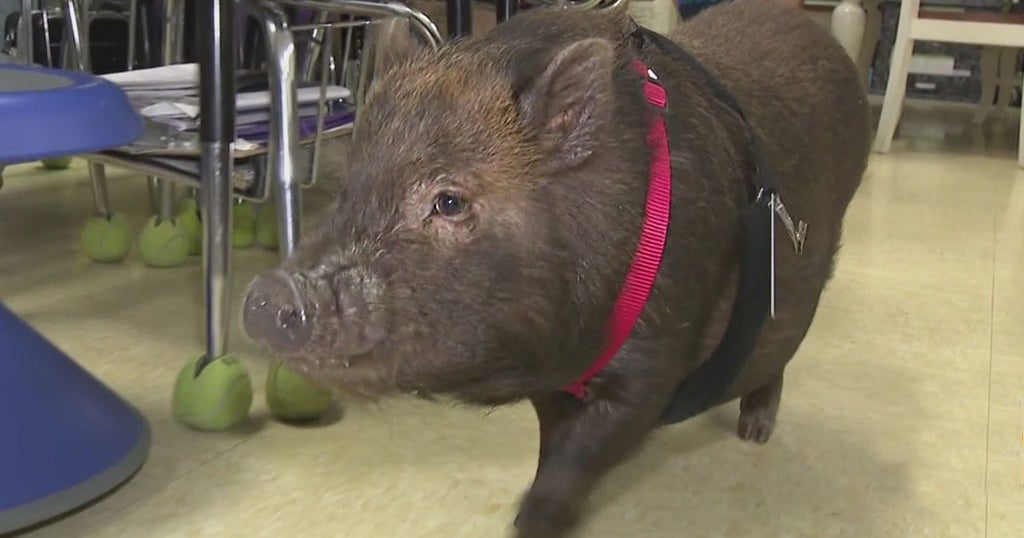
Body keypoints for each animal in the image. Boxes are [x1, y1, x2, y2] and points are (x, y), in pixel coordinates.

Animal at [241, 1, 870, 536]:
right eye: (350, 185)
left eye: (449, 201)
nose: (265, 296)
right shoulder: (556, 384)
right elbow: (552, 446)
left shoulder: (657, 359)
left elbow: (580, 458)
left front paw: (528, 520)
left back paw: (755, 435)